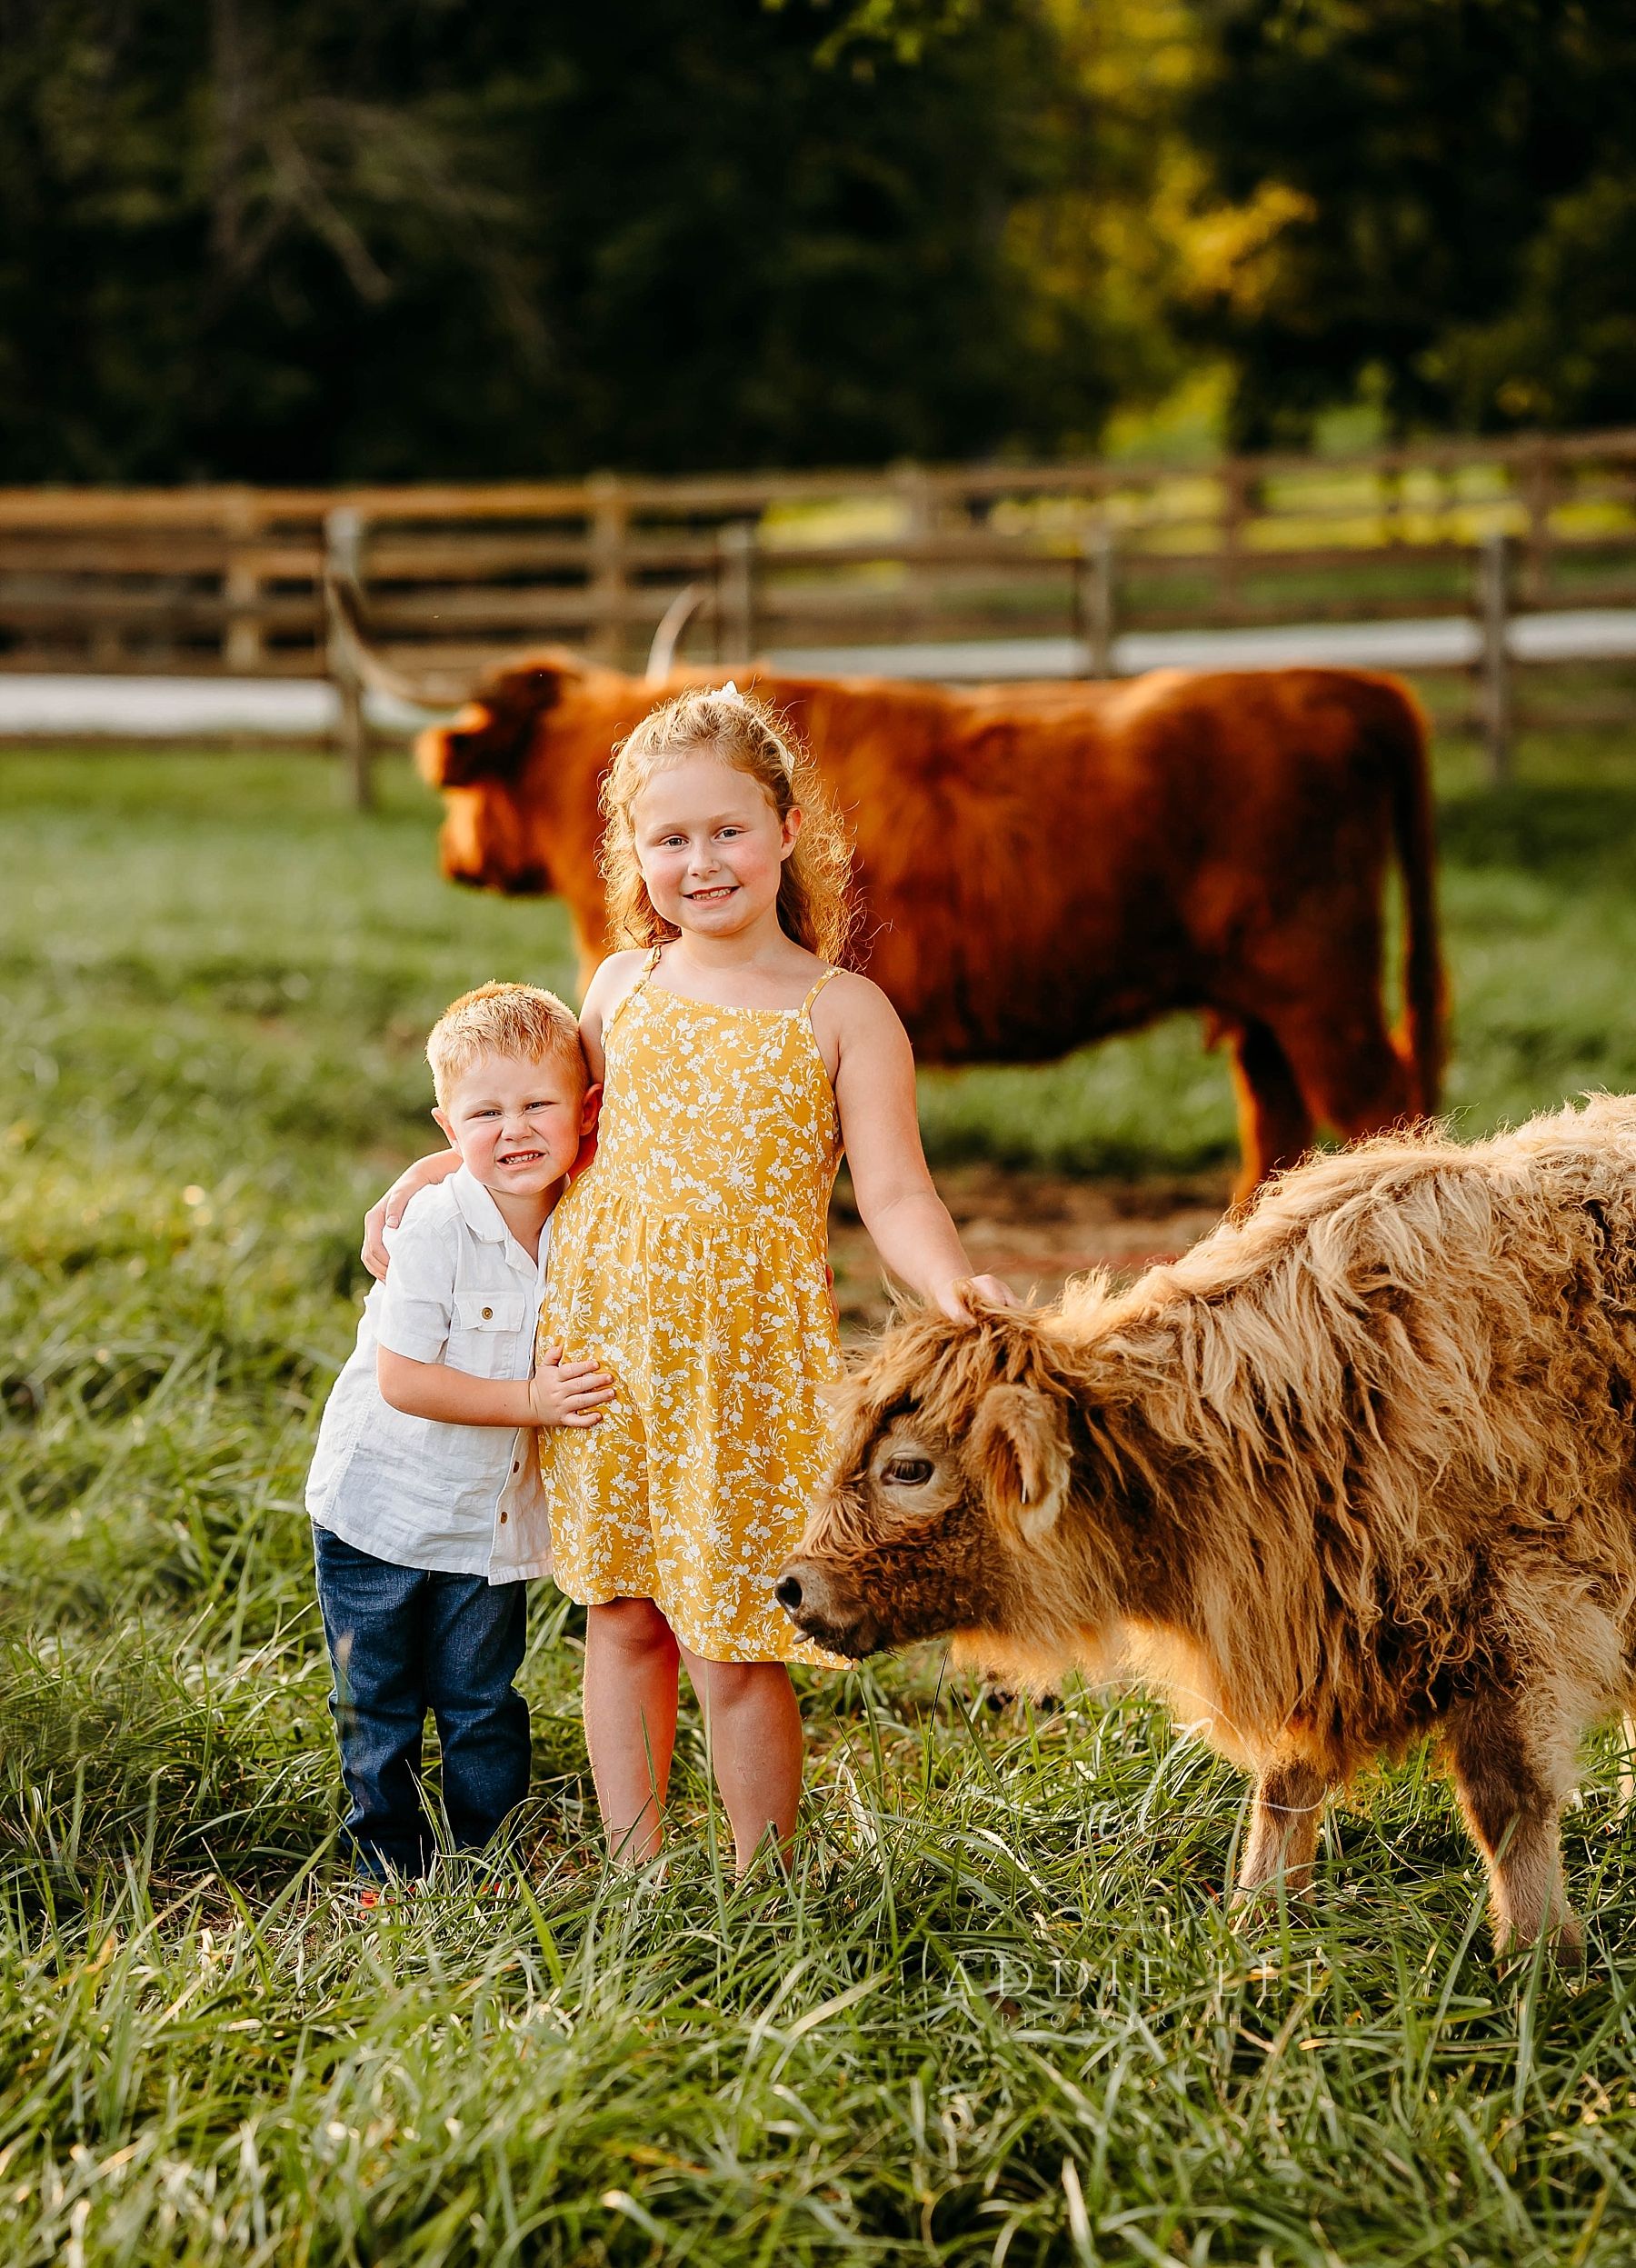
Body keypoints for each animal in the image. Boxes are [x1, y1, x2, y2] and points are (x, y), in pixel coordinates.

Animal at [417, 652, 1446, 1200]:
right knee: (1277, 1127)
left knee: (1379, 1109)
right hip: (1262, 1006)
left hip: (1320, 987)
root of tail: (1344, 681)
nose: (452, 858)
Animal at [777, 1096, 1636, 1955]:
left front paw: (1538, 1954)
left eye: (909, 1468)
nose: (791, 1586)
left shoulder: (1521, 1615)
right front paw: (1257, 1919)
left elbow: (1507, 1799)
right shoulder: (1315, 1632)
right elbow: (1284, 1785)